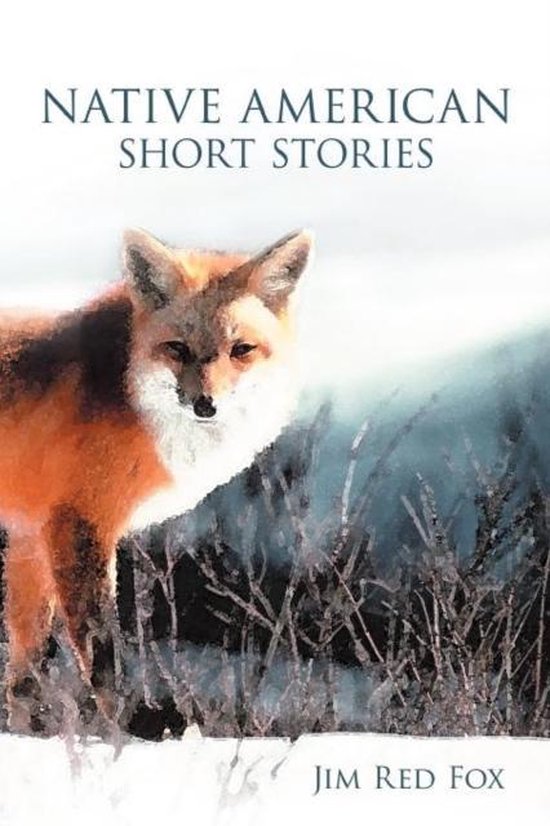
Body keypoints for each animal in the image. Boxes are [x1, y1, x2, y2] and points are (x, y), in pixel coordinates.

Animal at [0, 227, 313, 727]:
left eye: (241, 350)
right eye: (177, 349)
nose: (206, 405)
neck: (130, 397)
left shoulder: (30, 535)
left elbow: (25, 677)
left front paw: (26, 738)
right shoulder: (78, 525)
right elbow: (103, 657)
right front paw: (122, 732)